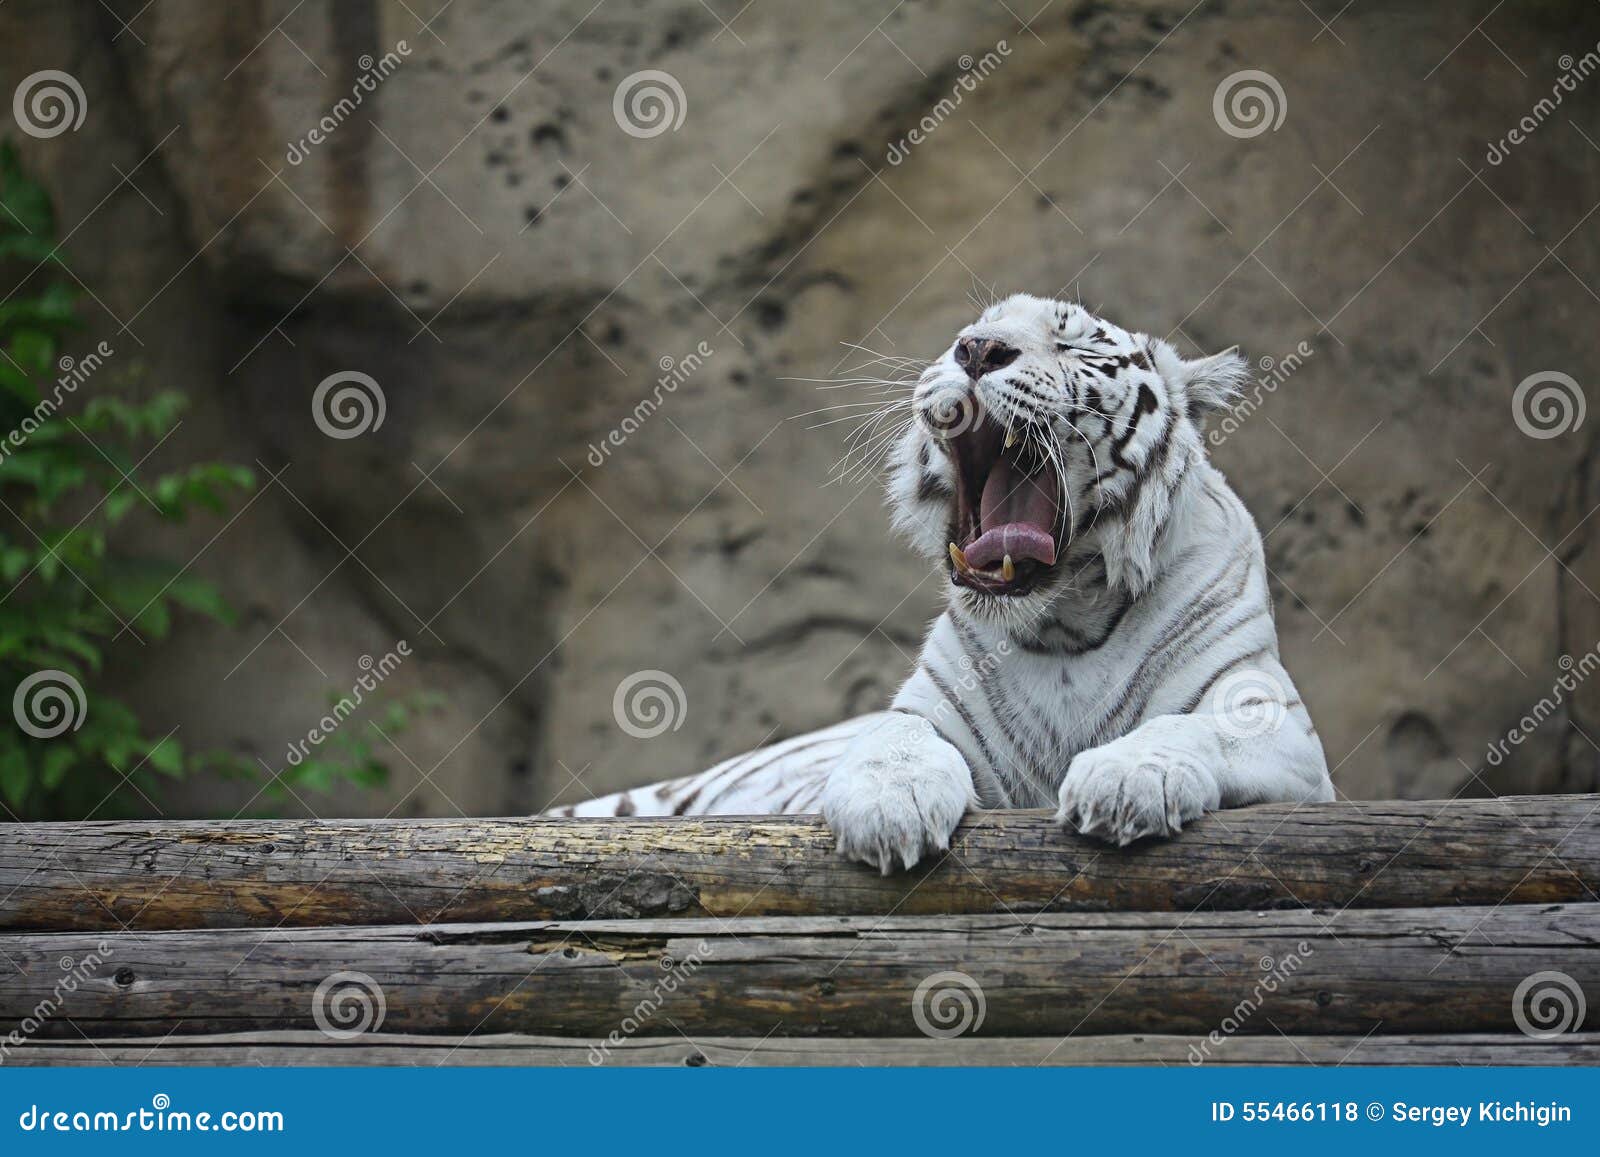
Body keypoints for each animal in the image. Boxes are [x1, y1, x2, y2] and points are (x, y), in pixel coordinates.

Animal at [552, 293, 1333, 873]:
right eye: (974, 327)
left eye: (1074, 344)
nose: (977, 349)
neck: (1067, 621)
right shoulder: (931, 710)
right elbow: (898, 739)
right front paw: (887, 808)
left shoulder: (1276, 722)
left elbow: (1185, 726)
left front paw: (1125, 780)